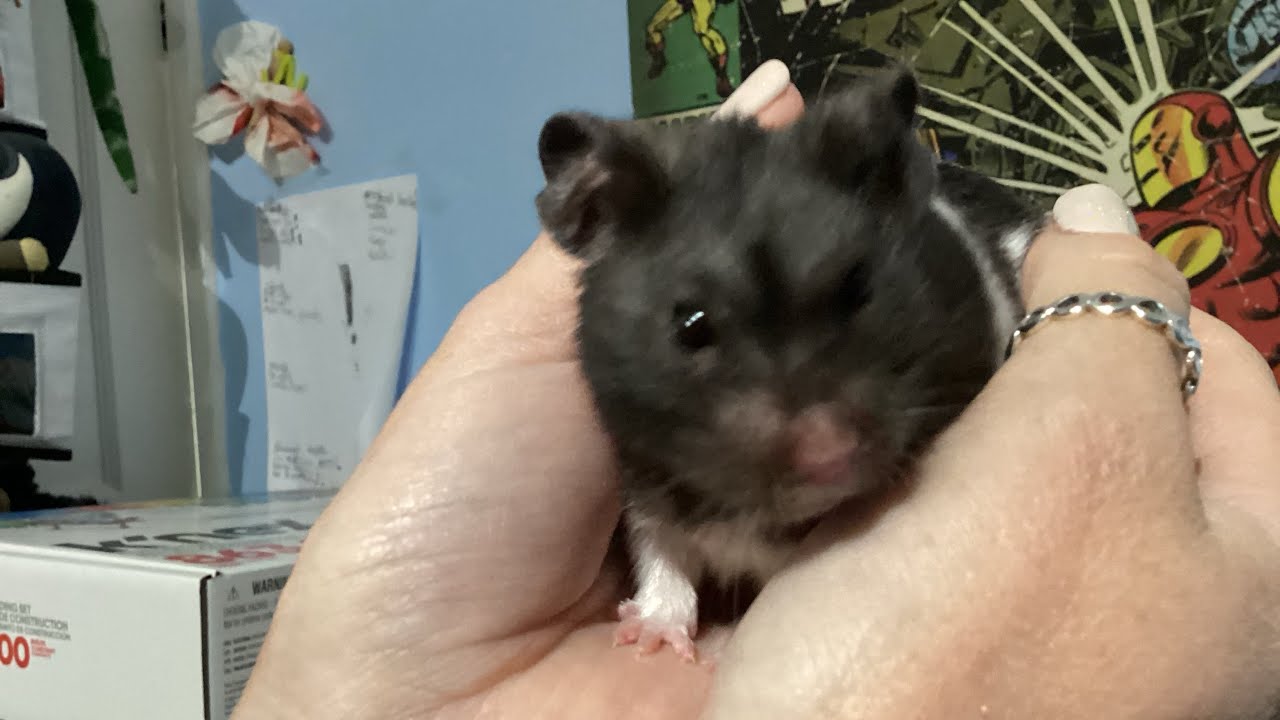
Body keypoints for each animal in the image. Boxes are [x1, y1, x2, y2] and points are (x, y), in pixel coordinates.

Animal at [534, 65, 1046, 661]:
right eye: (690, 325)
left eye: (858, 289)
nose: (830, 455)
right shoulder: (643, 479)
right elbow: (661, 553)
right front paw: (649, 641)